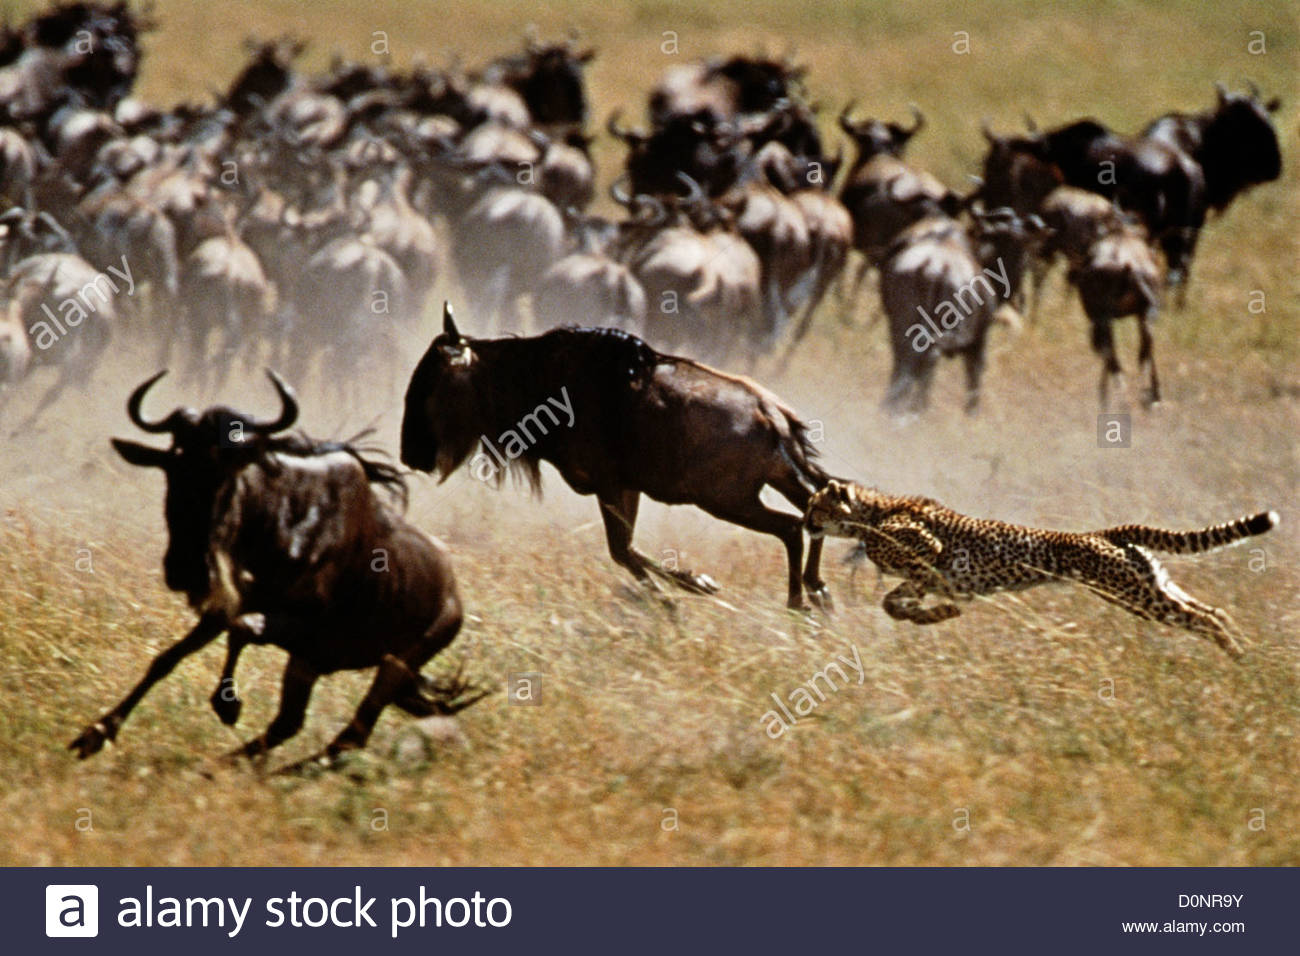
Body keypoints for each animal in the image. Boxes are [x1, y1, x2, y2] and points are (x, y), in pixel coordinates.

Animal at [803, 478, 1278, 658]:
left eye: (815, 507)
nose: (805, 523)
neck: (871, 512)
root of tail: (1102, 532)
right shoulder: (925, 577)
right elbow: (896, 603)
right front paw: (936, 614)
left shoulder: (929, 556)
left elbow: (894, 599)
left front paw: (940, 613)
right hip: (1148, 587)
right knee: (1211, 610)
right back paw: (1242, 648)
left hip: (1135, 595)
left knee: (1201, 618)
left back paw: (1237, 654)